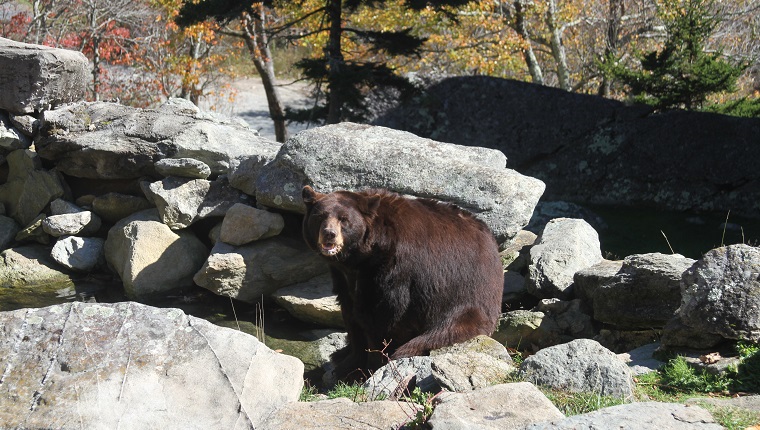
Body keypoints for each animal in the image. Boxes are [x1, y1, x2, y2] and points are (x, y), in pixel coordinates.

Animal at [301, 185, 504, 381]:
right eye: (320, 216)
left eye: (344, 219)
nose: (329, 234)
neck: (365, 256)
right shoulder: (344, 275)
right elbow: (350, 313)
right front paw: (347, 364)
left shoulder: (397, 267)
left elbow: (385, 314)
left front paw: (368, 367)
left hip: (463, 300)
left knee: (441, 333)